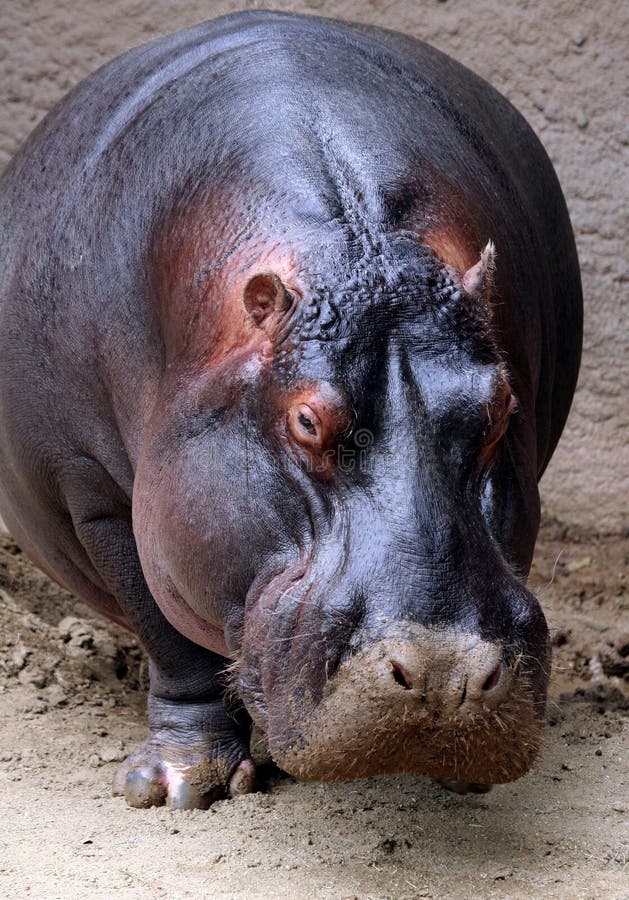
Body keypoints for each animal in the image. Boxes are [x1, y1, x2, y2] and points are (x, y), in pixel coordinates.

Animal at [0, 10, 582, 808]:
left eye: (500, 411)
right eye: (305, 421)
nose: (444, 677)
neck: (358, 252)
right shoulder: (97, 494)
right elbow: (167, 633)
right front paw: (182, 786)